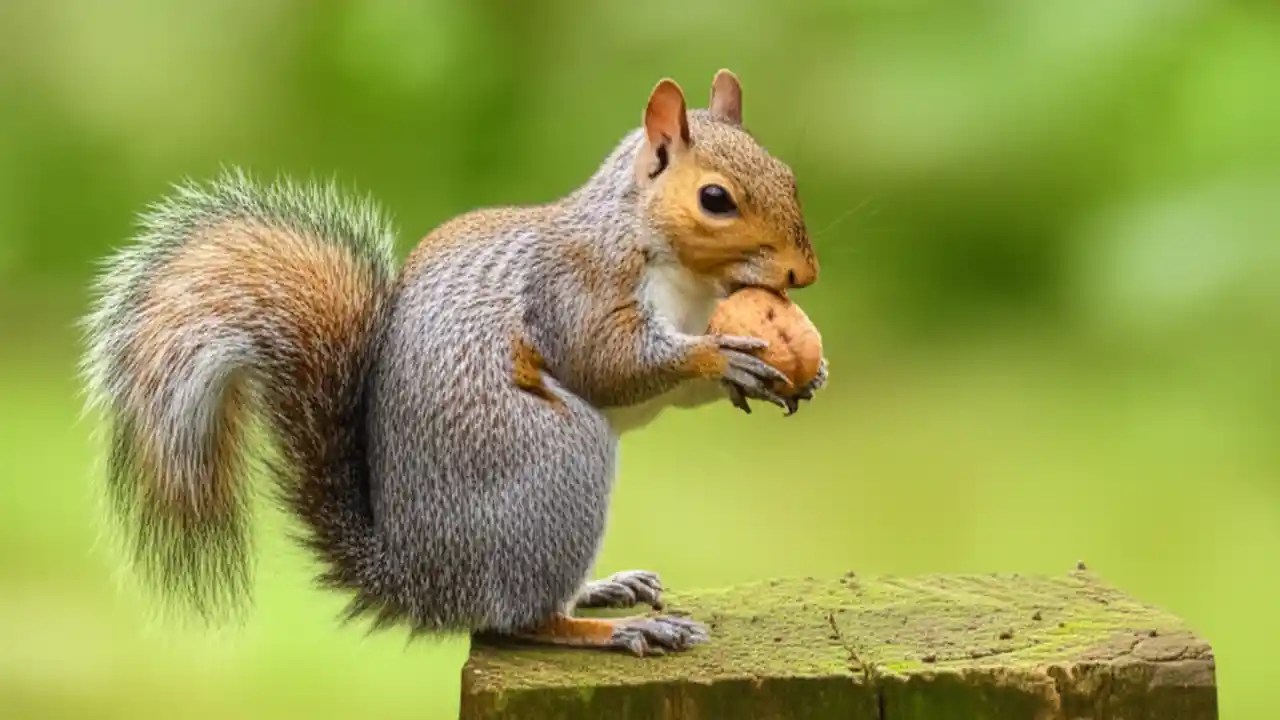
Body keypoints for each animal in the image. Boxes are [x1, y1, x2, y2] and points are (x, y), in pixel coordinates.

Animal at [81, 69, 824, 656]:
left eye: (789, 176)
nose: (804, 274)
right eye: (715, 199)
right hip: (559, 461)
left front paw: (794, 373)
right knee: (520, 620)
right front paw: (719, 358)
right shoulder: (573, 288)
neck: (685, 277)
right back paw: (616, 630)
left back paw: (606, 589)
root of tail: (423, 583)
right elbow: (608, 365)